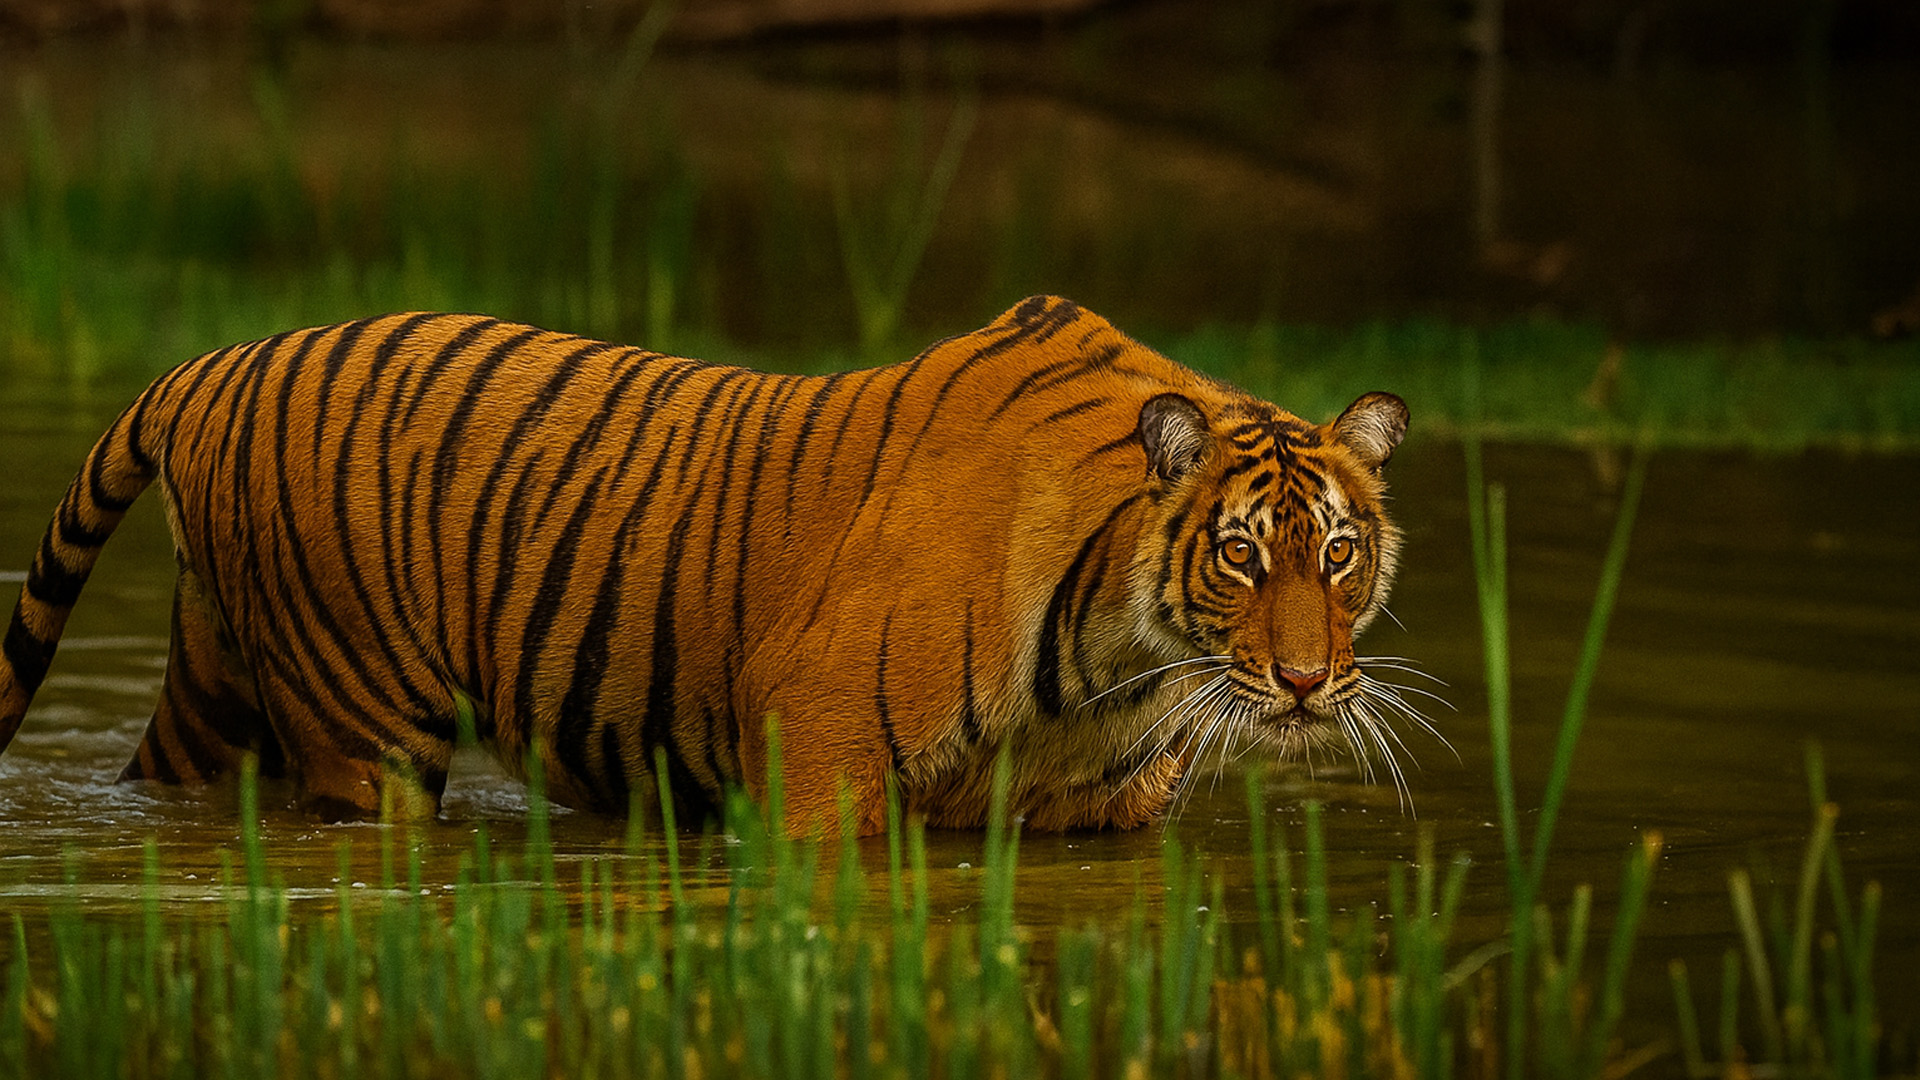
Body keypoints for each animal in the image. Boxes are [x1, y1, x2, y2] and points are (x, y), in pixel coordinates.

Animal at [0, 296, 1415, 836]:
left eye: (1340, 554)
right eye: (1241, 556)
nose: (1307, 685)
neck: (1124, 663)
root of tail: (212, 361)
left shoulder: (1092, 822)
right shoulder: (817, 768)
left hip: (216, 689)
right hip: (363, 729)